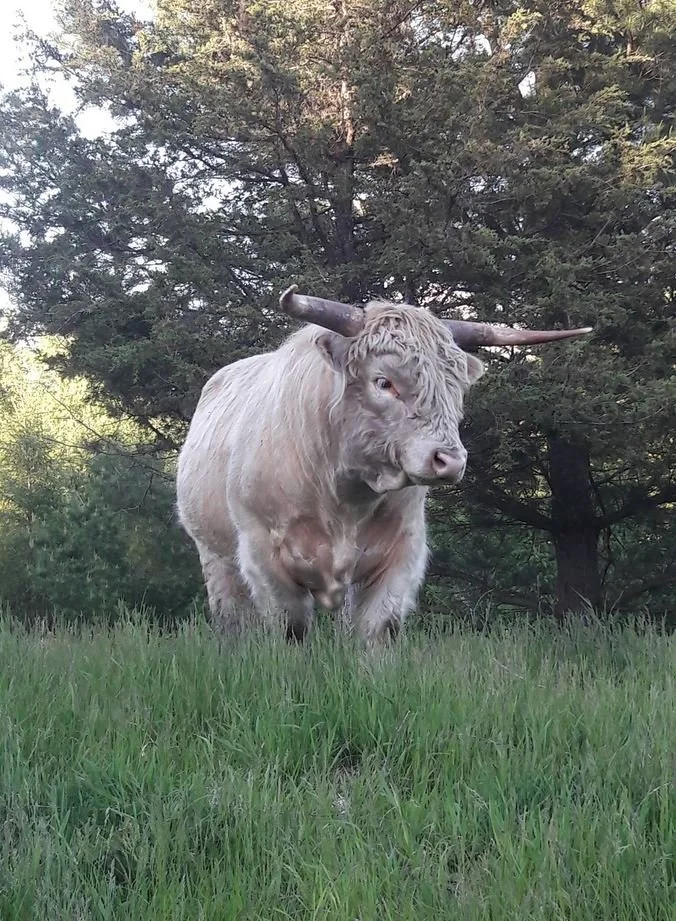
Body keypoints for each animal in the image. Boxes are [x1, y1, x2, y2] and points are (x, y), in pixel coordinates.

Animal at [176, 286, 590, 644]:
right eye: (383, 382)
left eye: (457, 388)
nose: (449, 460)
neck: (341, 492)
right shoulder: (265, 557)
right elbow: (290, 628)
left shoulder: (401, 555)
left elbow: (379, 629)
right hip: (215, 556)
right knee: (232, 619)